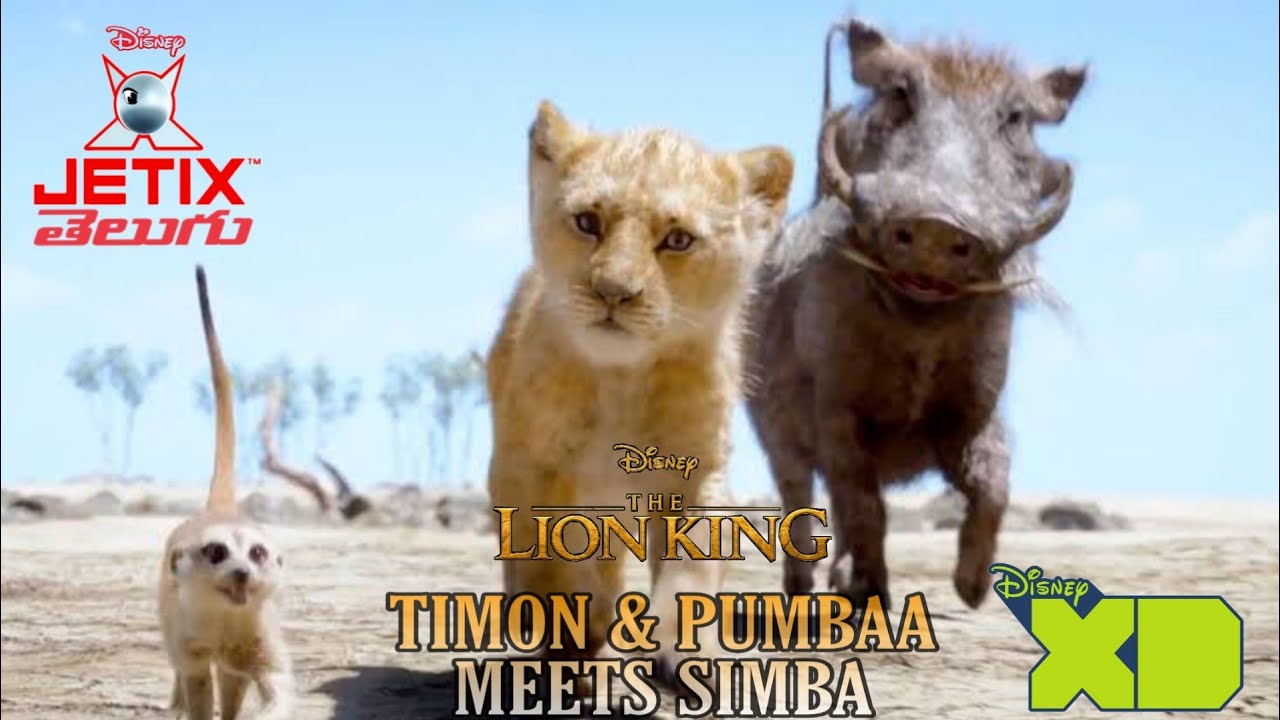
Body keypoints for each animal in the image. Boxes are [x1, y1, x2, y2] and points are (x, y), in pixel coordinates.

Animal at [485, 100, 793, 670]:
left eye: (678, 240)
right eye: (588, 222)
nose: (614, 291)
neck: (622, 377)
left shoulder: (697, 470)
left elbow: (691, 565)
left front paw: (684, 645)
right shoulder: (528, 461)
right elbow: (540, 550)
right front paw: (559, 625)